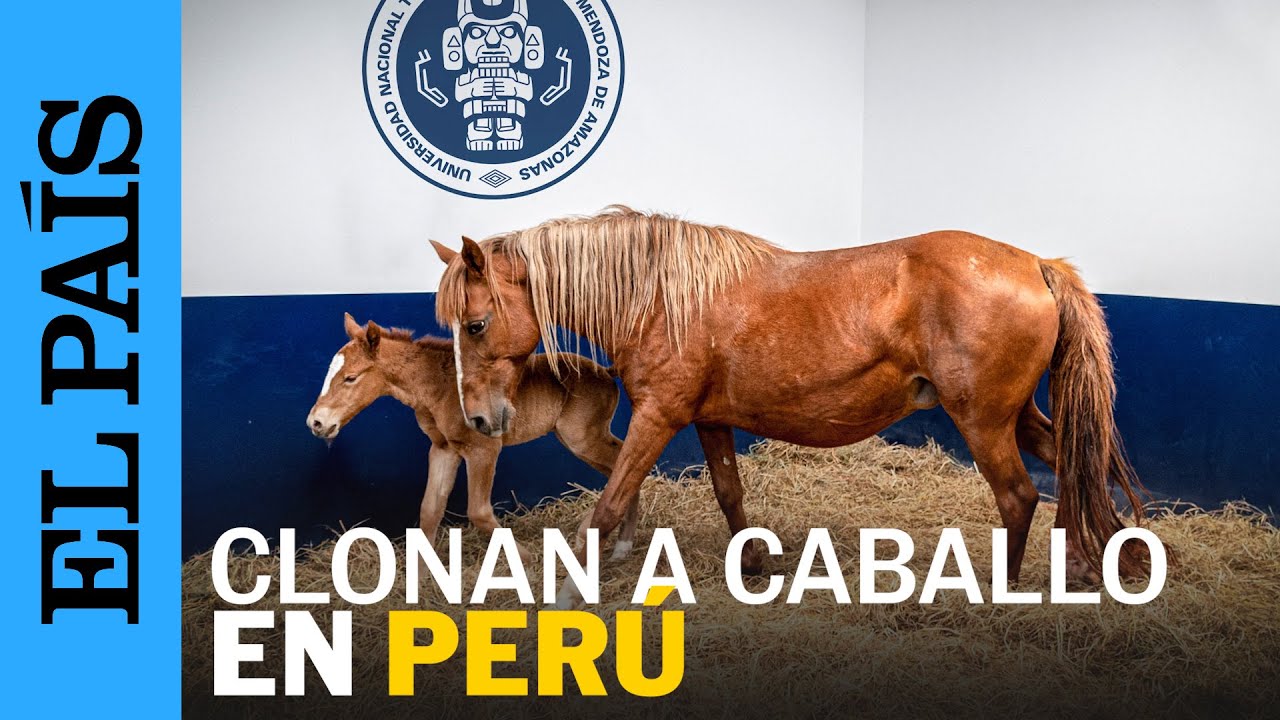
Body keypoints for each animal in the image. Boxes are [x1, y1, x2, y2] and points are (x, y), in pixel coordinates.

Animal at [305, 312, 640, 560]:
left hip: (582, 438)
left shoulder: (483, 448)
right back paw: (618, 544)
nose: (316, 422)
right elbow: (430, 509)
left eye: (350, 378)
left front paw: (526, 559)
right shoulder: (443, 448)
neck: (438, 387)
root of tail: (607, 372)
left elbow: (478, 512)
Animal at [430, 206, 1150, 604]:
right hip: (1015, 416)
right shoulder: (709, 419)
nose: (479, 420)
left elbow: (605, 508)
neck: (660, 296)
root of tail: (1036, 264)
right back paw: (1089, 563)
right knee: (1073, 466)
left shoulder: (659, 417)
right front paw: (754, 563)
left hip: (984, 419)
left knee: (1019, 497)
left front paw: (563, 592)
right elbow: (729, 494)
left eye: (475, 324)